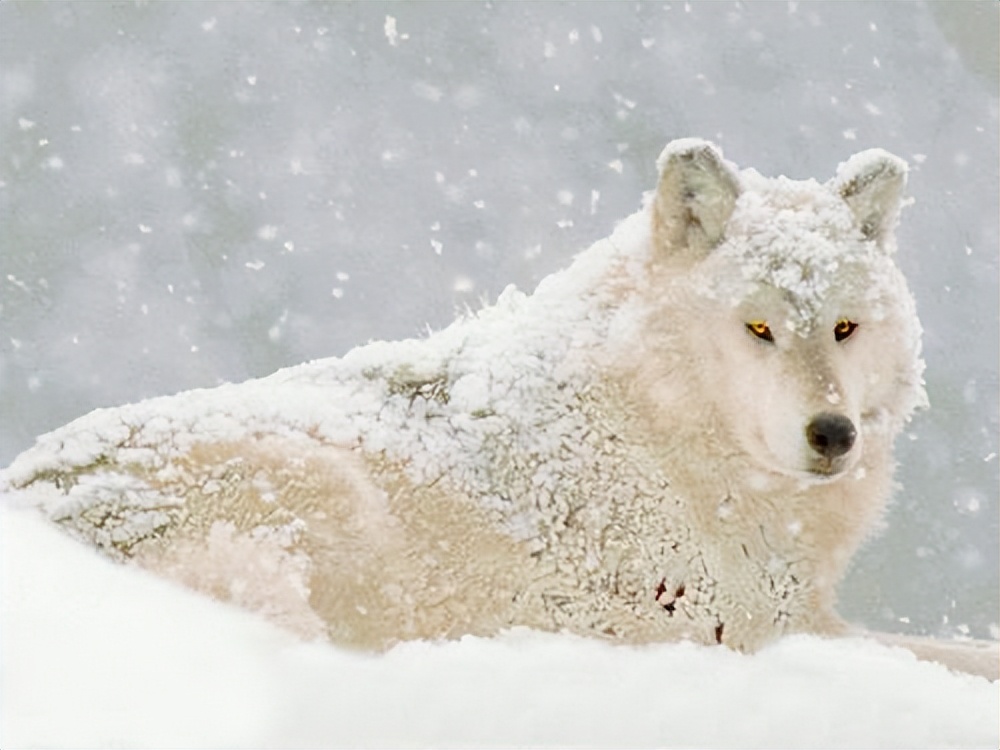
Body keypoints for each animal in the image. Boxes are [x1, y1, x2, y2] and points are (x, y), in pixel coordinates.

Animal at [2, 139, 995, 678]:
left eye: (844, 328)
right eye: (758, 327)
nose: (833, 435)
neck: (666, 434)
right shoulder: (760, 631)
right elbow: (949, 654)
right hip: (316, 495)